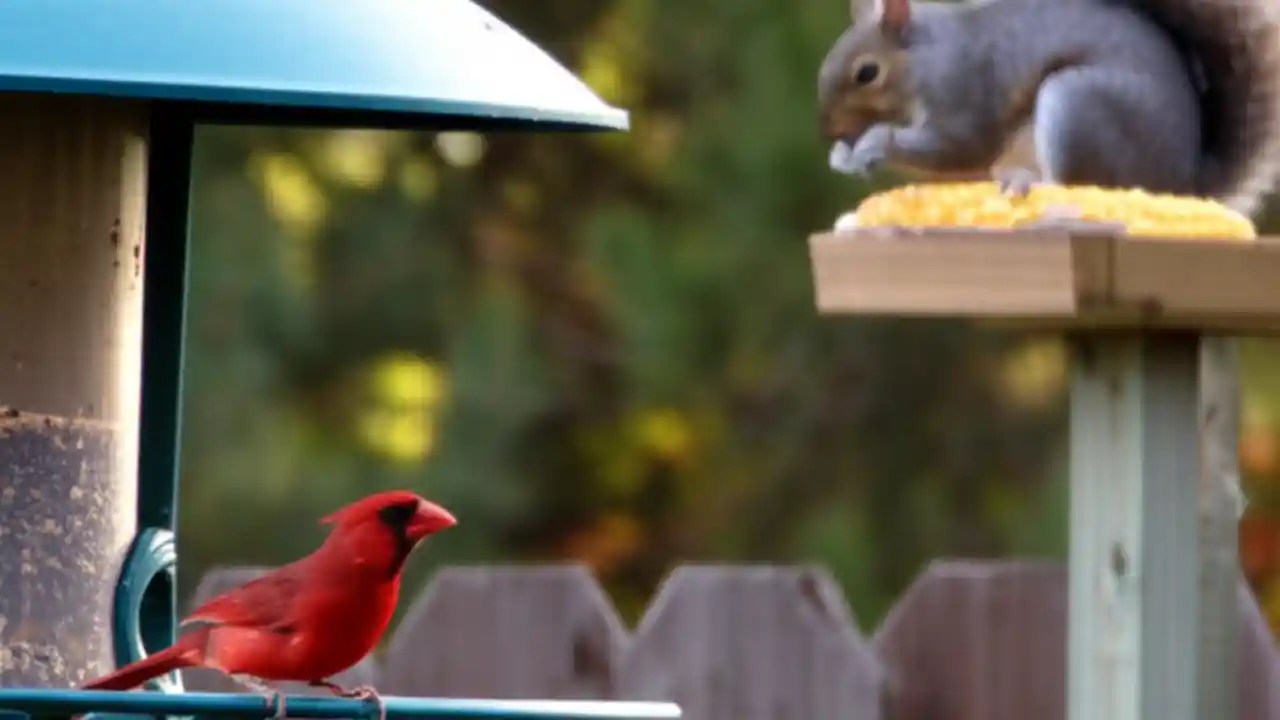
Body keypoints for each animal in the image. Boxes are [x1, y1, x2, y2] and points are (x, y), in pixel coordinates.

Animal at [817, 0, 1280, 215]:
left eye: (867, 73)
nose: (831, 130)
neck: (924, 59)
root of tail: (1181, 185)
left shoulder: (964, 91)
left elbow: (959, 147)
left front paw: (875, 141)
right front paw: (843, 157)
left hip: (1077, 105)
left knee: (1071, 185)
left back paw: (1030, 183)